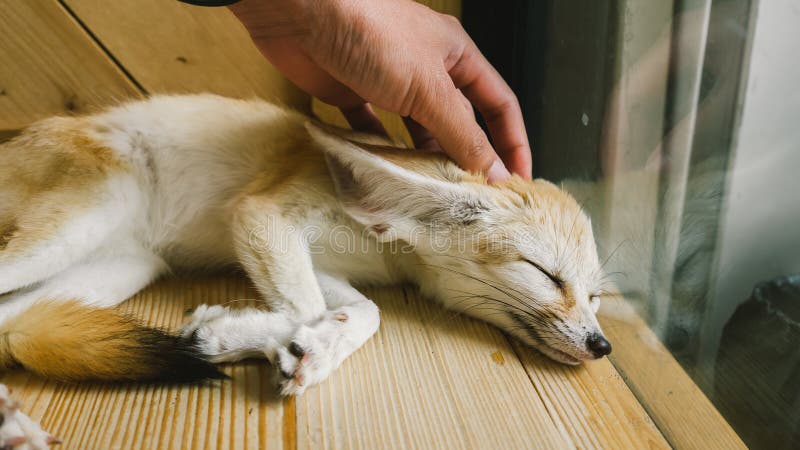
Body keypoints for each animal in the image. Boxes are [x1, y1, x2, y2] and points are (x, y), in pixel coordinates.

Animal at [0, 94, 611, 447]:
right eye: (545, 274)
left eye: (595, 297)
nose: (602, 345)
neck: (385, 244)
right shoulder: (262, 217)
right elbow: (307, 306)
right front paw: (253, 338)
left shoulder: (329, 262)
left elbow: (366, 312)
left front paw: (296, 346)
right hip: (83, 222)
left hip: (119, 268)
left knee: (10, 325)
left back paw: (11, 421)